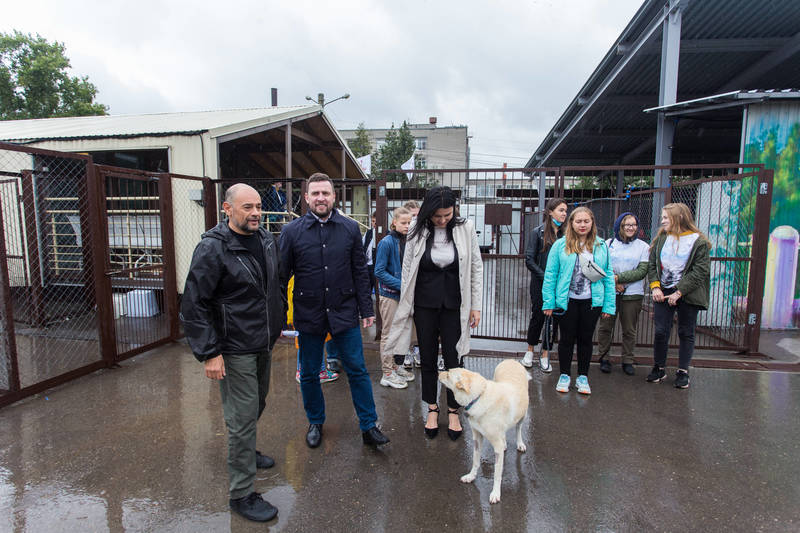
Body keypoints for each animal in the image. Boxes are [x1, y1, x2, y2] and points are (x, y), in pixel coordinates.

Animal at [438, 358, 532, 502]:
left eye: (448, 375)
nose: (438, 373)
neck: (478, 397)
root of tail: (511, 360)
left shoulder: (496, 447)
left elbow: (497, 473)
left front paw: (496, 493)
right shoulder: (477, 438)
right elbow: (475, 461)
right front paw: (471, 476)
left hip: (523, 415)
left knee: (518, 429)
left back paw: (520, 443)